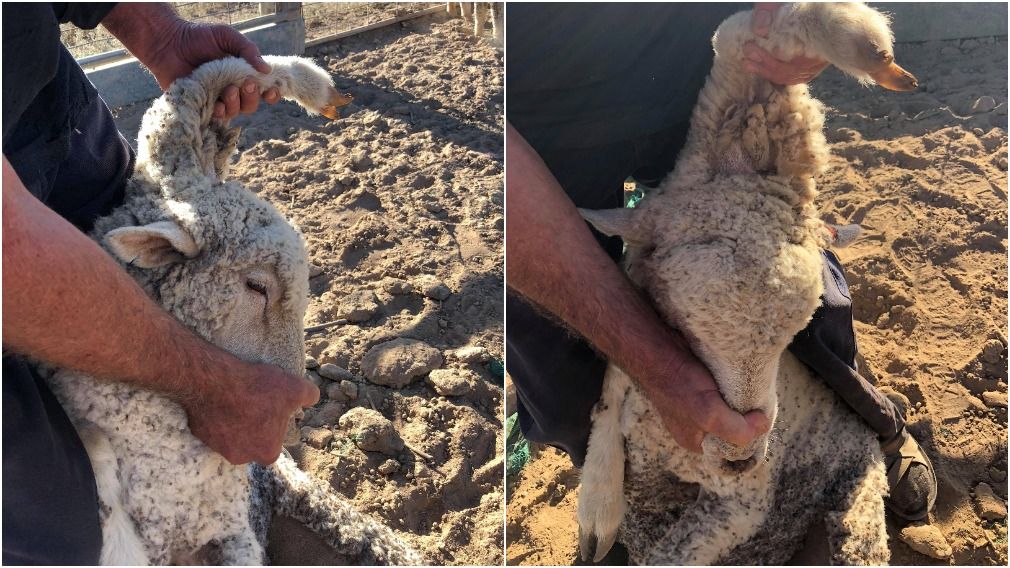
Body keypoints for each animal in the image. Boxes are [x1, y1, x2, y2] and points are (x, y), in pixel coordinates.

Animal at [575, 3, 917, 564]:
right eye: (681, 328)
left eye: (798, 334)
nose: (740, 460)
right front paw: (597, 502)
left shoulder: (741, 502)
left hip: (858, 499)